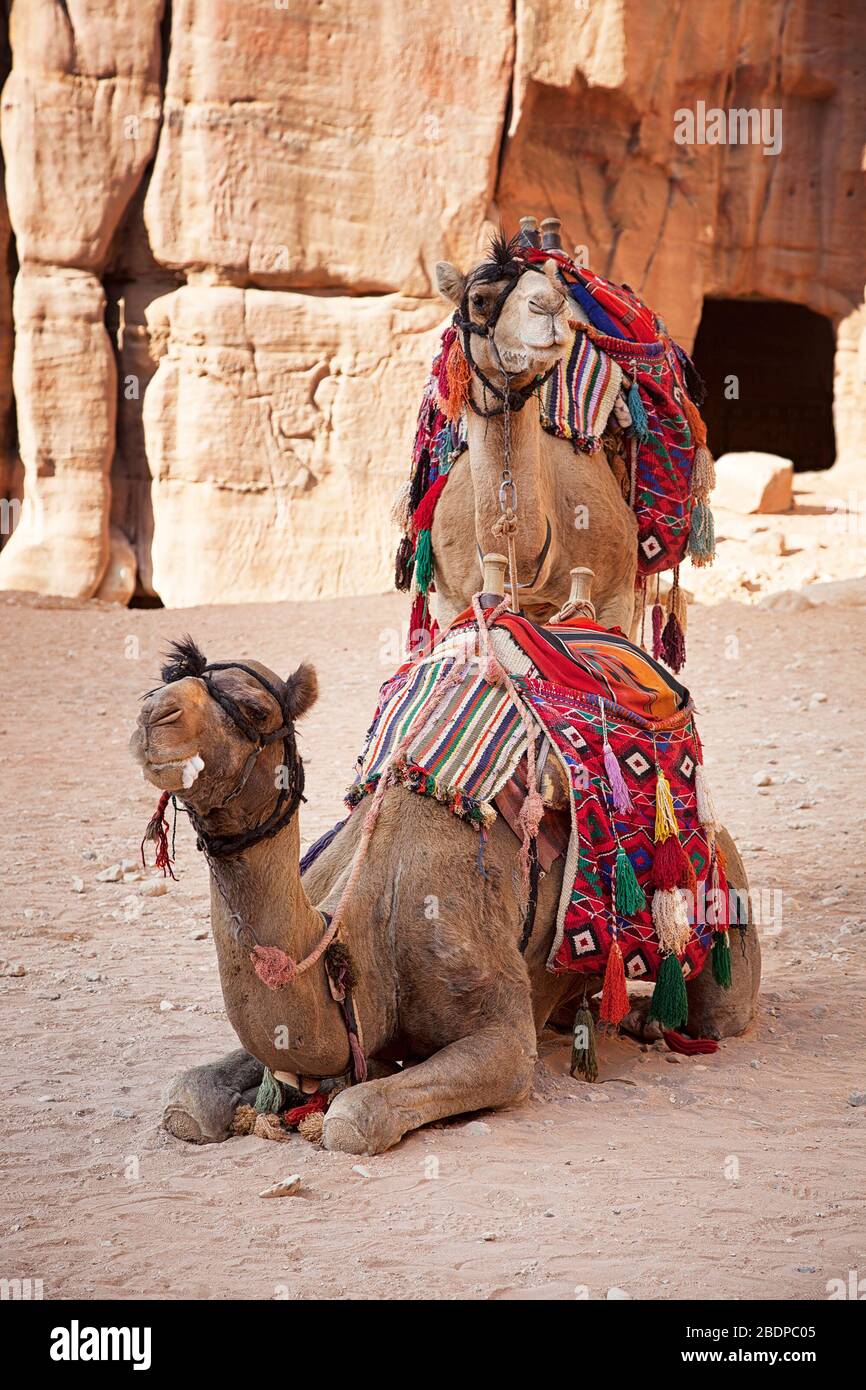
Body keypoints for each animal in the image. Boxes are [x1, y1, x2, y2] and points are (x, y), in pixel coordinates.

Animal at [131, 638, 761, 1156]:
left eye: (255, 709)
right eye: (167, 679)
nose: (153, 714)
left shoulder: (503, 1038)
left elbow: (353, 1117)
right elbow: (186, 1098)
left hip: (722, 892)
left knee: (717, 1013)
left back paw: (646, 1019)